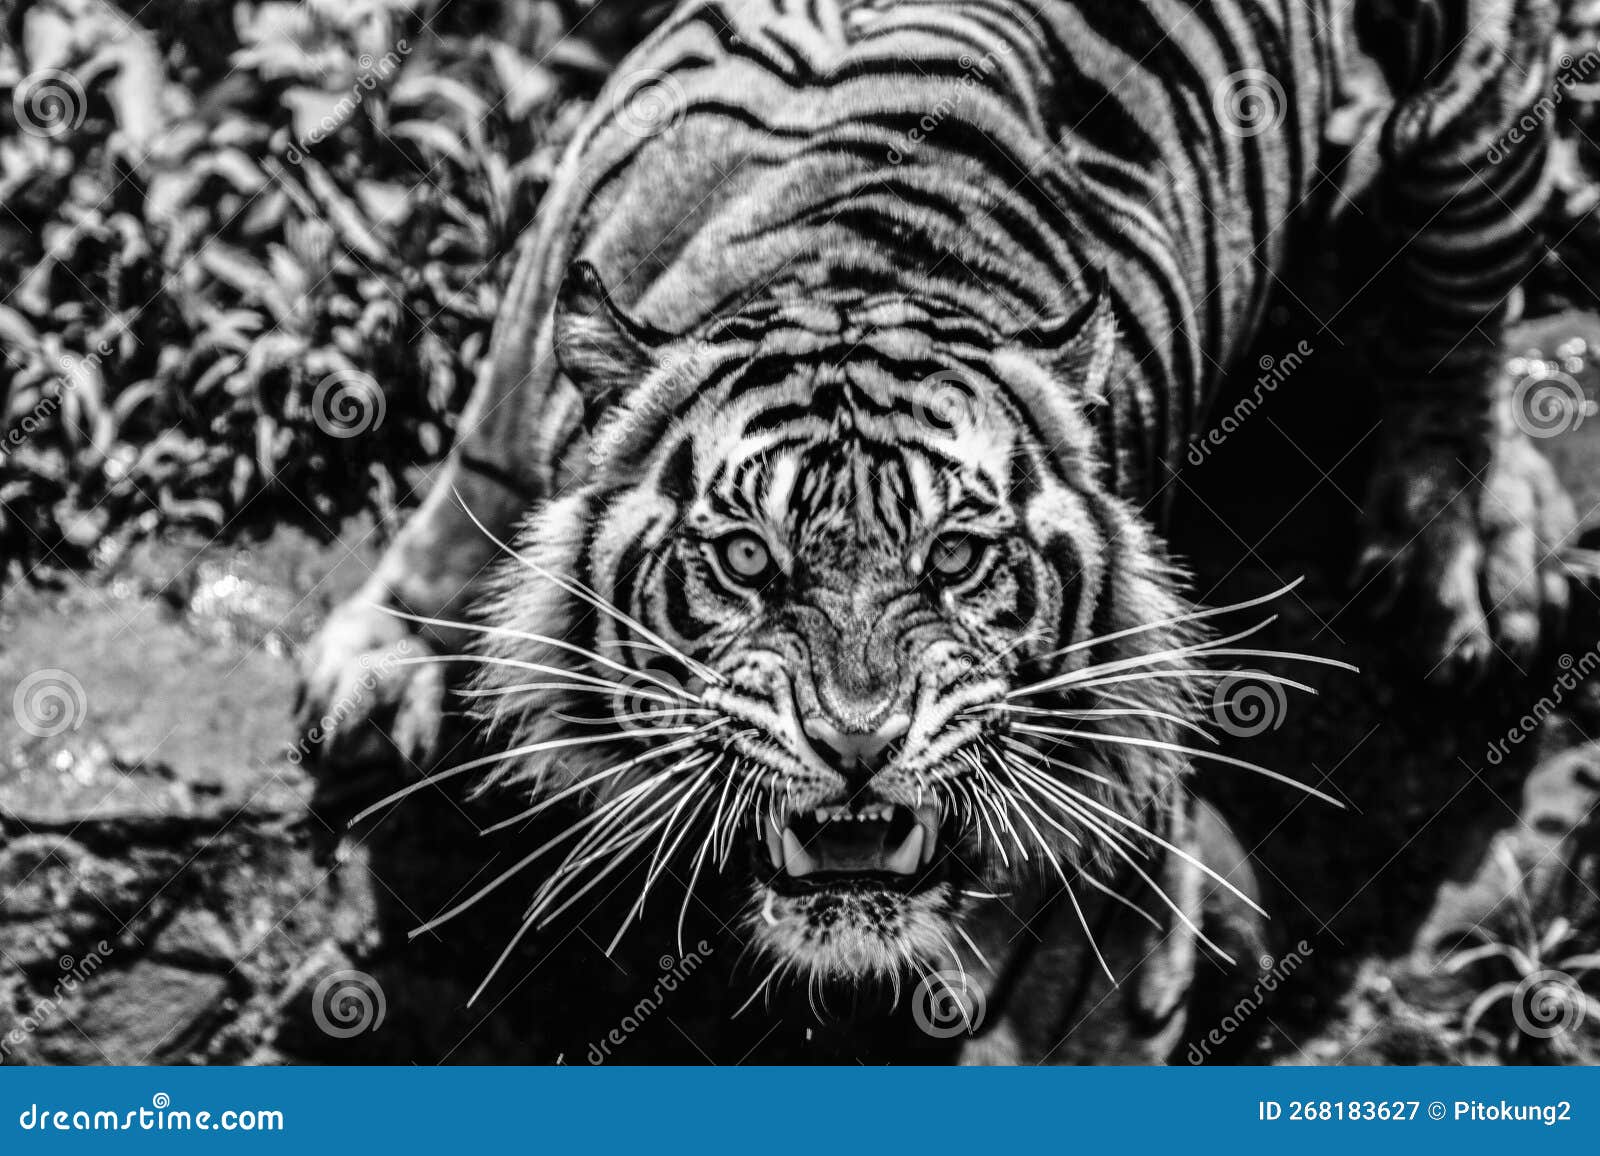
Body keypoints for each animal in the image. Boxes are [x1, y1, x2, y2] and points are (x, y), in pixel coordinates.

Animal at [297, 0, 1576, 1062]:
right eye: (745, 558)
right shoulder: (547, 298)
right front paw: (378, 669)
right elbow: (475, 477)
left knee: (1463, 298)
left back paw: (1464, 549)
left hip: (1474, 95)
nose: (857, 741)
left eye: (956, 557)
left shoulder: (1089, 912)